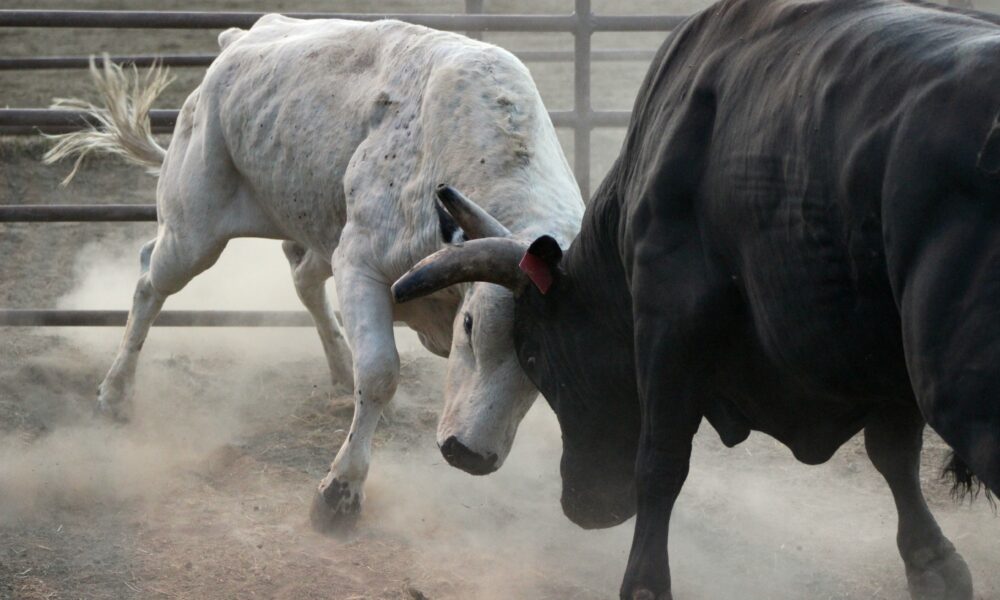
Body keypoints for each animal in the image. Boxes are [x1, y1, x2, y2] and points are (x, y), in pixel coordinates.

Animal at [45, 15, 583, 532]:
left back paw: (341, 369)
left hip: (317, 230)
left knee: (302, 280)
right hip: (191, 234)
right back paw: (115, 393)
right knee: (148, 281)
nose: (468, 455)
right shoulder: (360, 265)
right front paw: (339, 493)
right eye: (470, 325)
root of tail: (239, 39)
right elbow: (381, 374)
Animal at [391, 0, 1000, 598]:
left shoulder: (668, 325)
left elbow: (661, 462)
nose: (582, 504)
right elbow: (892, 454)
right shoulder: (882, 356)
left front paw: (643, 583)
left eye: (535, 359)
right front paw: (933, 565)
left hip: (958, 389)